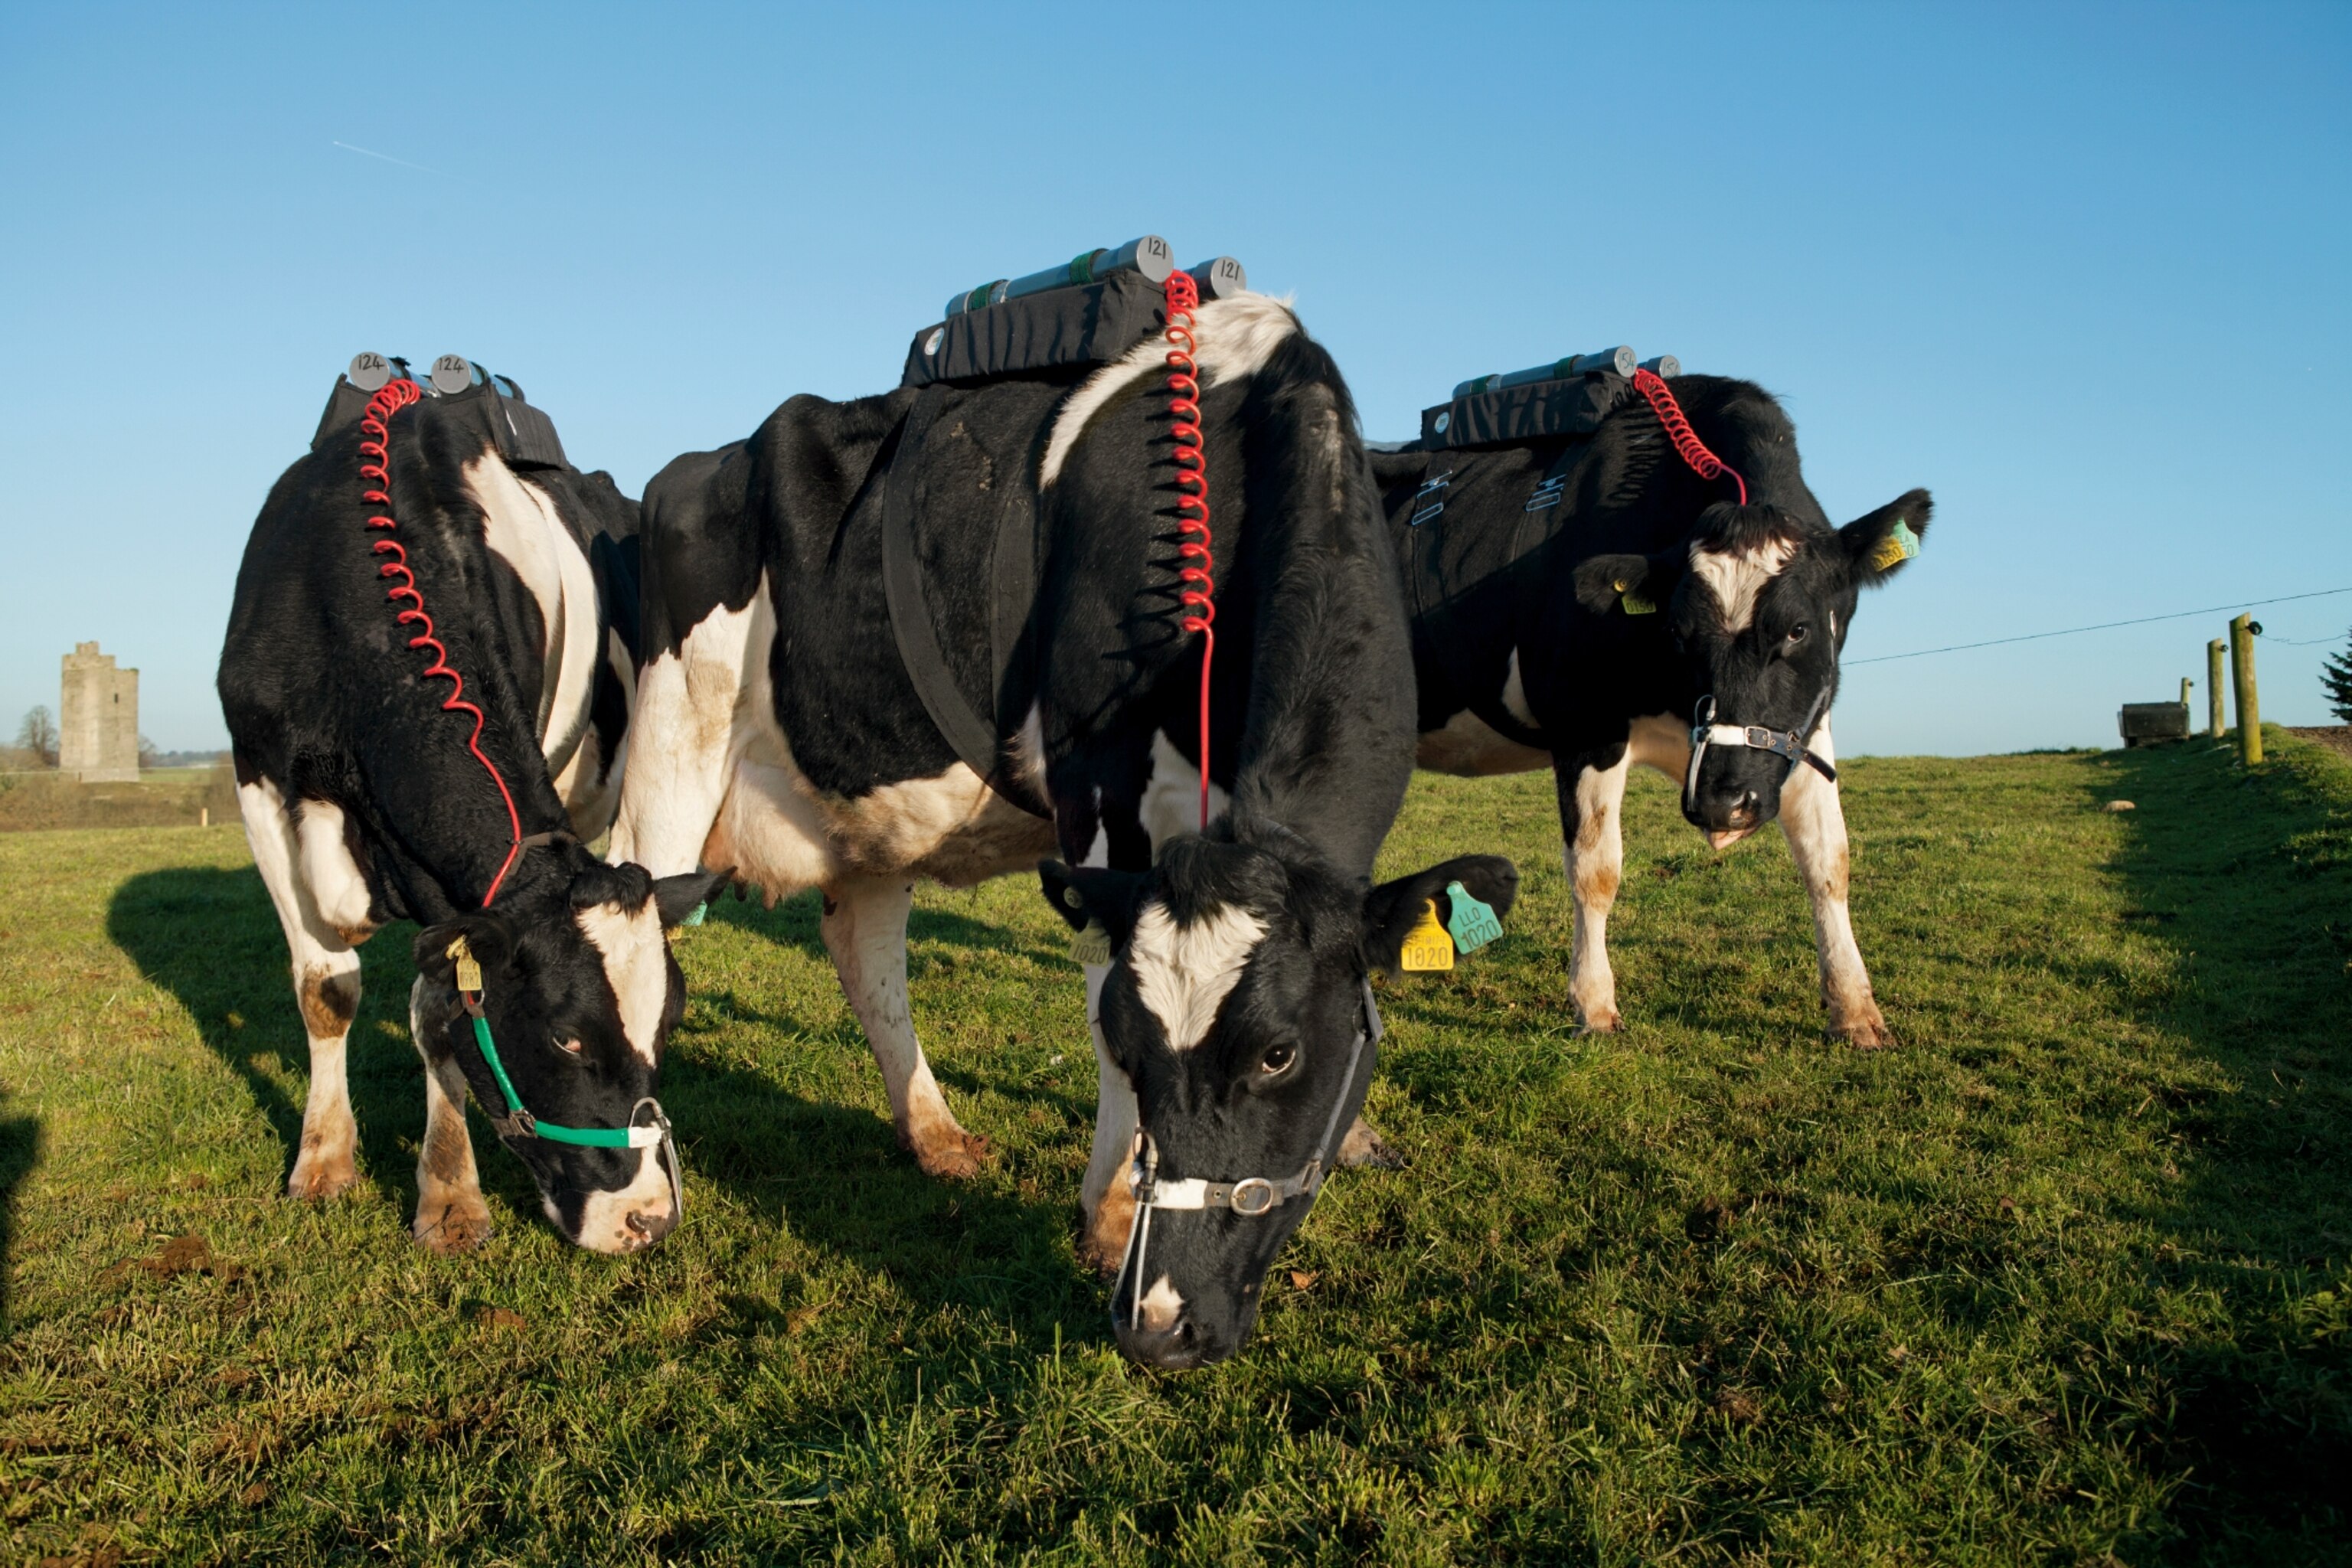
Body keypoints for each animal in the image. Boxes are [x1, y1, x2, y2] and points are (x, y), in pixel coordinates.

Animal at [218, 365, 721, 1255]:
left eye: (671, 1024)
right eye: (564, 1035)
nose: (648, 1217)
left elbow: (438, 1007)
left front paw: (450, 1195)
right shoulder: (258, 780)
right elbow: (325, 989)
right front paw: (323, 1159)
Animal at [610, 290, 1518, 1366]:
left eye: (1279, 1052)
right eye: (1138, 1042)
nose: (1160, 1324)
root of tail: (689, 467)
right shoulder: (1099, 796)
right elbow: (1096, 997)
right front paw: (1113, 1215)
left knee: (864, 948)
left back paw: (935, 1134)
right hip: (671, 747)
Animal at [1358, 373, 1932, 1045]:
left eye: (1797, 629)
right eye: (1678, 630)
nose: (1722, 802)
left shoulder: (1804, 731)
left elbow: (1829, 860)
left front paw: (1855, 1009)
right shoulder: (1586, 724)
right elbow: (1596, 870)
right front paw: (1594, 1004)